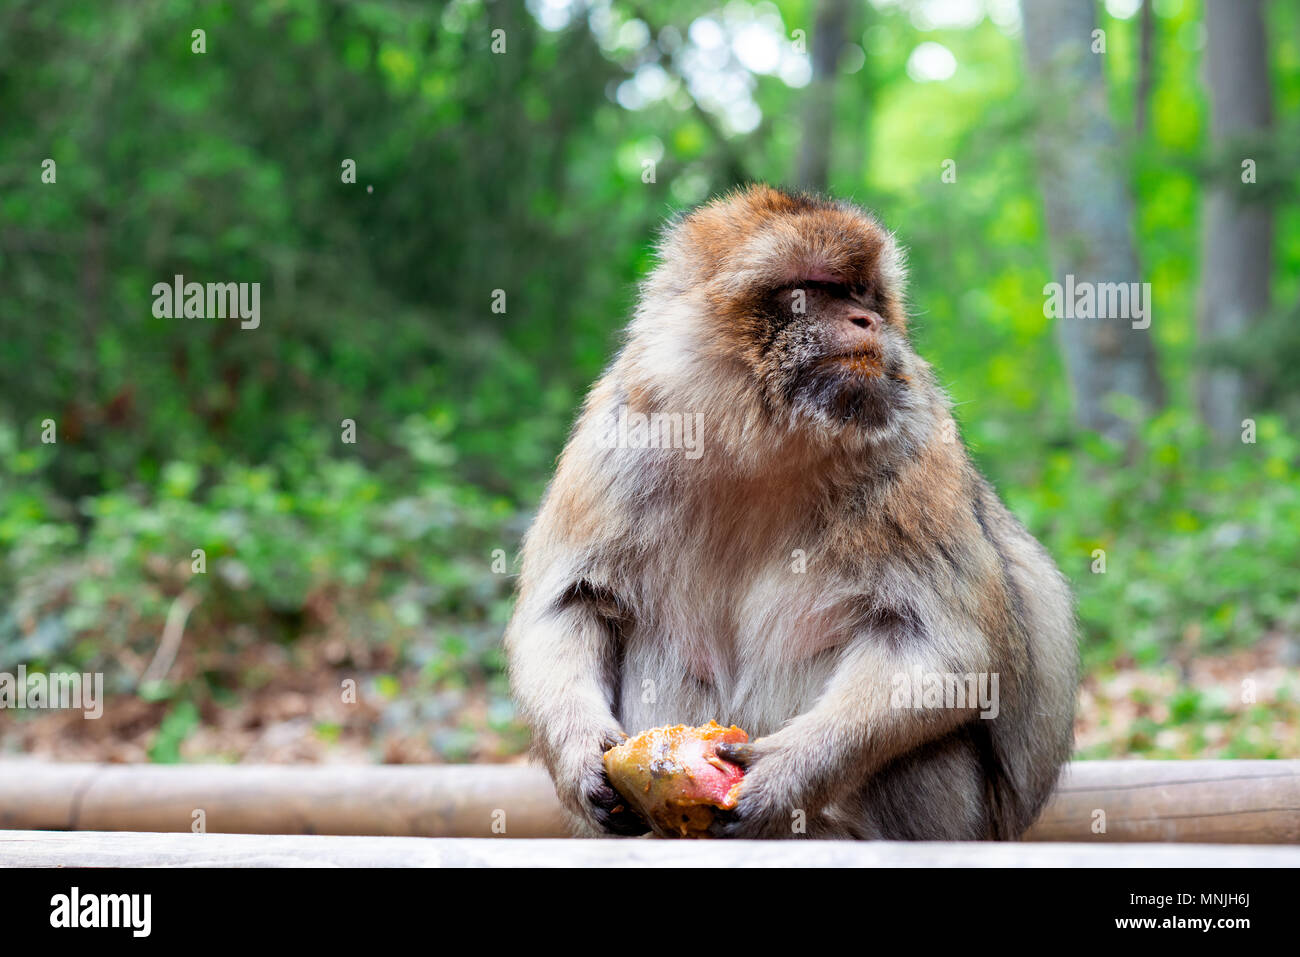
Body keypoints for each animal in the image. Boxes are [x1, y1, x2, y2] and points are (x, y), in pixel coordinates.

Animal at [504, 185, 1077, 840]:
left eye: (862, 293)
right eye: (817, 289)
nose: (867, 320)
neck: (762, 438)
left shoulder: (915, 442)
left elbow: (945, 648)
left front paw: (782, 777)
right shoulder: (619, 433)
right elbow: (570, 604)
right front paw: (582, 759)